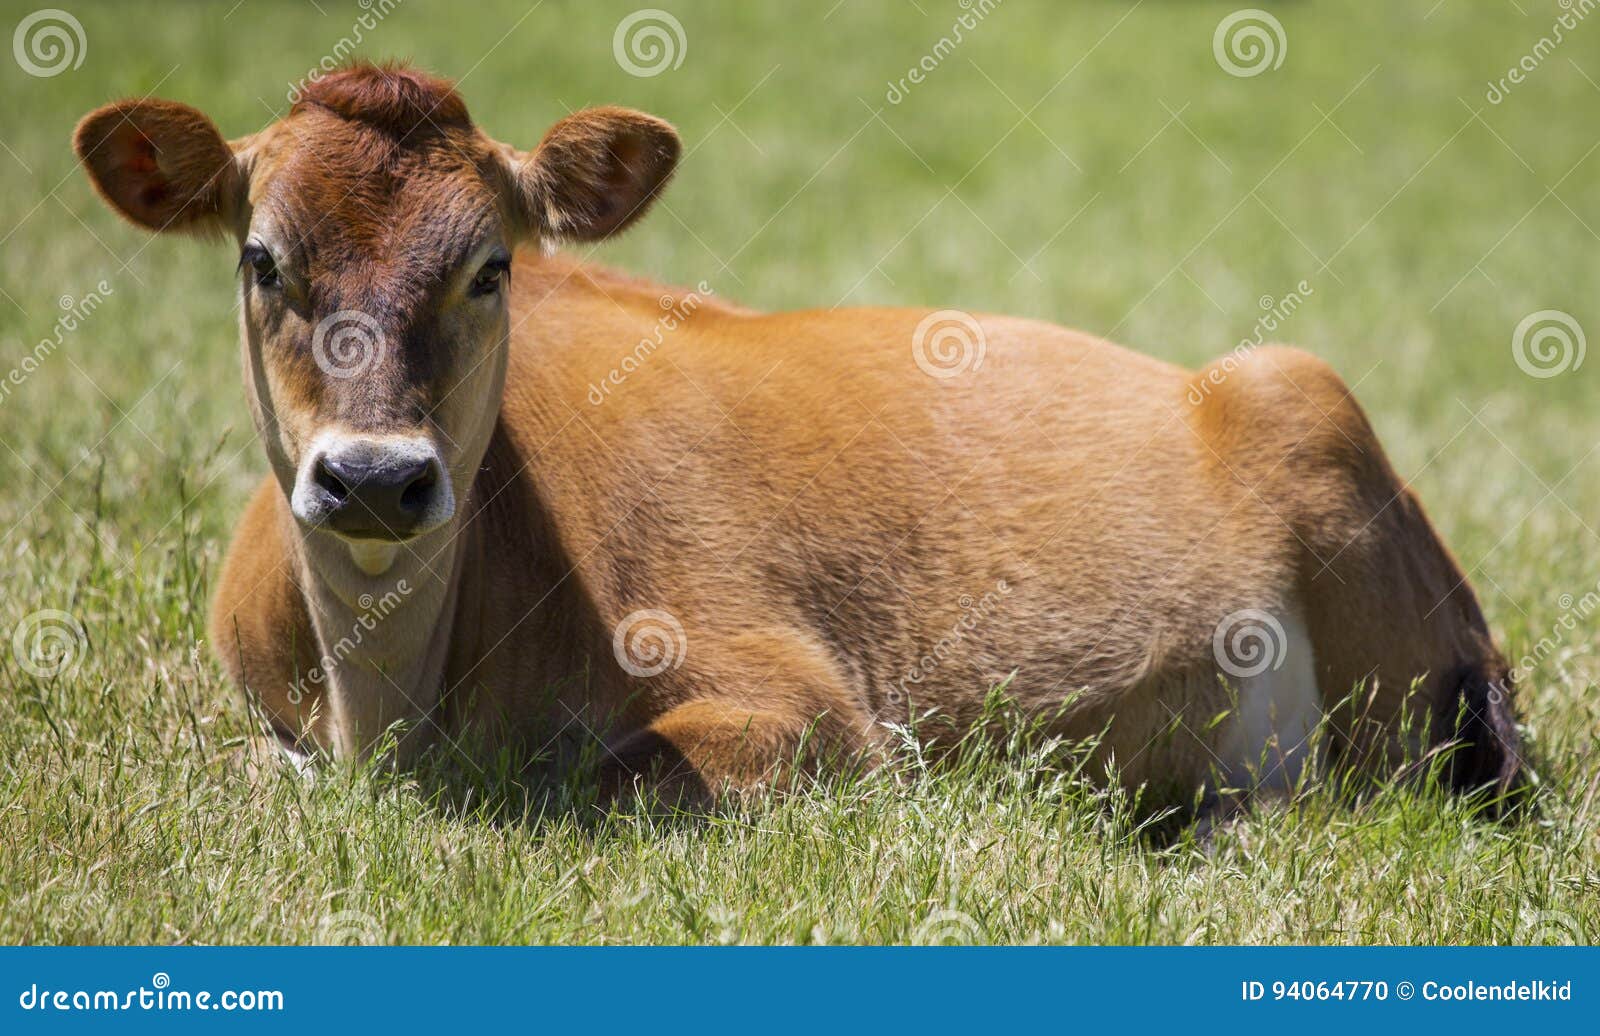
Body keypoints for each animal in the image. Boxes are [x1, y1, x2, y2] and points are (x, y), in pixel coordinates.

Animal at [73, 62, 1523, 816]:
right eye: (262, 258)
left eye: (491, 266)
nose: (375, 477)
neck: (389, 710)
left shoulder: (805, 707)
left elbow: (611, 773)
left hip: (1313, 424)